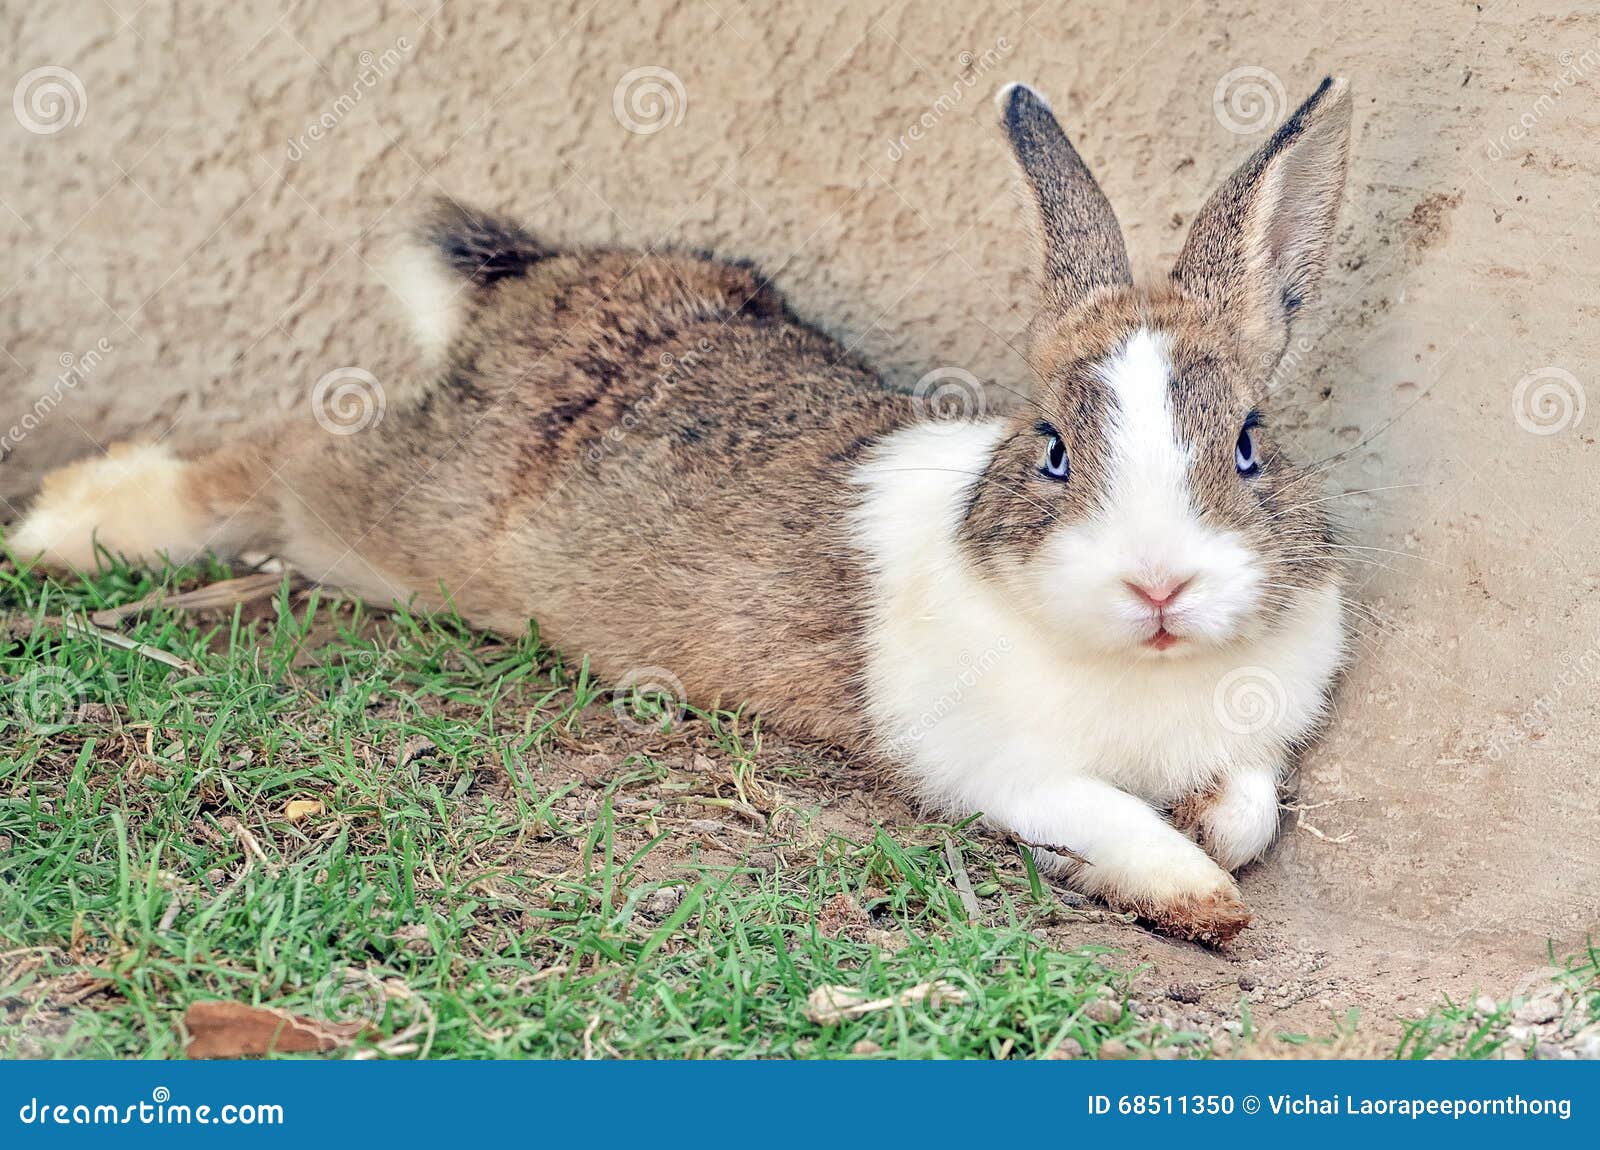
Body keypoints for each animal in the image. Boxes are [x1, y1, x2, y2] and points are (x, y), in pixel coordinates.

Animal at [9, 75, 1355, 945]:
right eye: (1054, 451)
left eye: (1248, 446)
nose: (1159, 583)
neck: (1143, 666)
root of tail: (533, 285)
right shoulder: (995, 759)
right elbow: (1108, 816)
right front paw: (1187, 894)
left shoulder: (1250, 742)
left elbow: (1249, 807)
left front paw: (1202, 838)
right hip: (402, 524)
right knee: (278, 462)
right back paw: (68, 523)